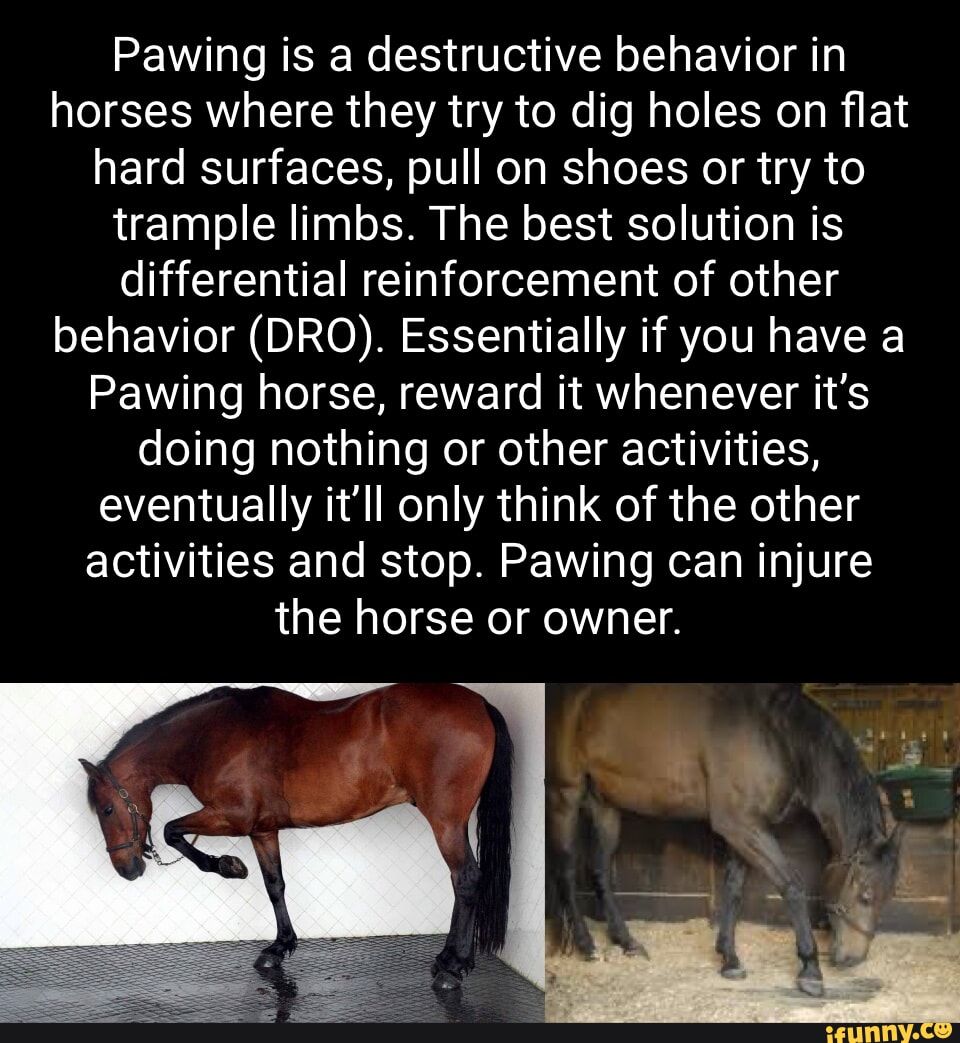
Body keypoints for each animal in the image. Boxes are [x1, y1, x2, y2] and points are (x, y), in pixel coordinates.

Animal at [81, 682, 513, 991]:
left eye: (106, 810)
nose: (127, 869)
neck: (210, 736)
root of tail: (479, 704)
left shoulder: (232, 818)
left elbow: (172, 830)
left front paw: (228, 866)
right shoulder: (262, 830)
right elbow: (275, 885)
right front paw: (279, 946)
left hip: (445, 821)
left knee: (465, 879)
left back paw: (453, 968)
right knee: (462, 881)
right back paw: (446, 958)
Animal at [546, 683, 904, 998]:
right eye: (865, 896)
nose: (853, 959)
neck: (778, 736)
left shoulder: (744, 830)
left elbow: (733, 888)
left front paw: (729, 958)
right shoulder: (740, 825)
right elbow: (792, 887)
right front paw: (810, 969)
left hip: (605, 806)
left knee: (600, 872)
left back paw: (626, 941)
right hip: (565, 796)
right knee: (565, 873)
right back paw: (586, 945)